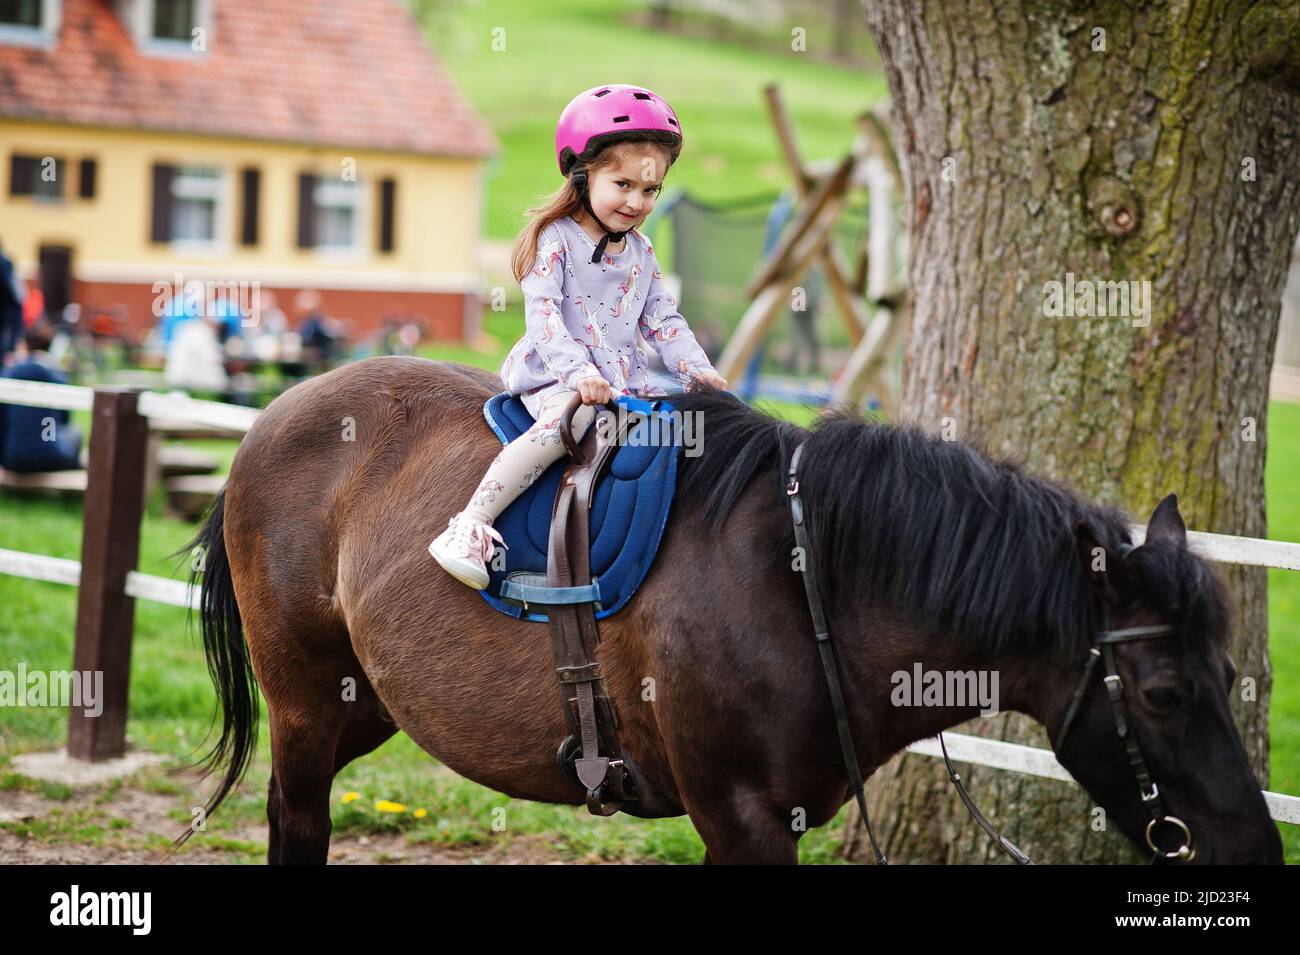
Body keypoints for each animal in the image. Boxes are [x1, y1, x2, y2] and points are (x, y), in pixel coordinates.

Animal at [171, 356, 1281, 864]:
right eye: (1164, 691)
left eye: (1227, 676)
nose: (1255, 846)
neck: (806, 584)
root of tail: (277, 412)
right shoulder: (744, 819)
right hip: (306, 706)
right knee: (296, 817)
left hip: (363, 704)